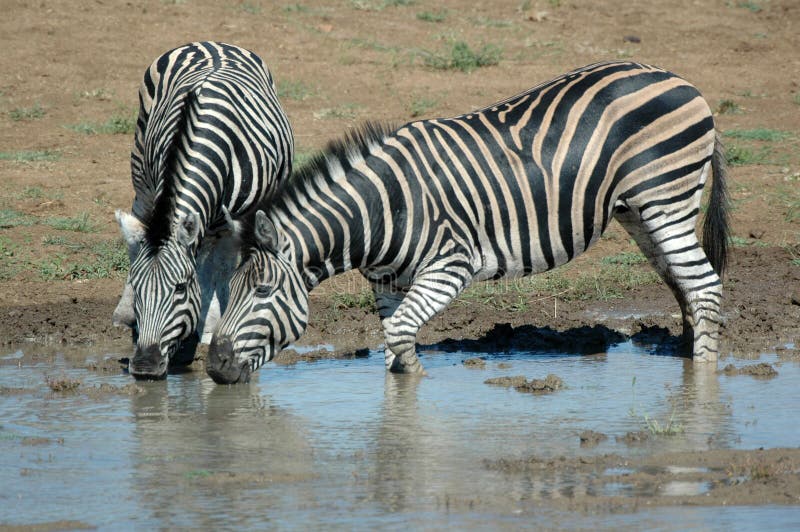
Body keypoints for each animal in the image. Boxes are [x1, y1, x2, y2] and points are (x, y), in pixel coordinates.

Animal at [113, 41, 294, 379]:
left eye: (180, 289)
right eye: (140, 288)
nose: (144, 366)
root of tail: (212, 43)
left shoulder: (234, 221)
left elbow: (216, 268)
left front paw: (208, 328)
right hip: (141, 172)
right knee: (137, 226)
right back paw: (124, 311)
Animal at [206, 61, 729, 384]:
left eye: (264, 292)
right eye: (228, 291)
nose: (213, 367)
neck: (379, 211)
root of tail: (677, 78)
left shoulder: (449, 266)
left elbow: (401, 339)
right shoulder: (387, 284)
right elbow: (394, 343)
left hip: (665, 198)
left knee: (704, 286)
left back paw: (702, 386)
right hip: (637, 211)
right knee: (684, 285)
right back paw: (687, 363)